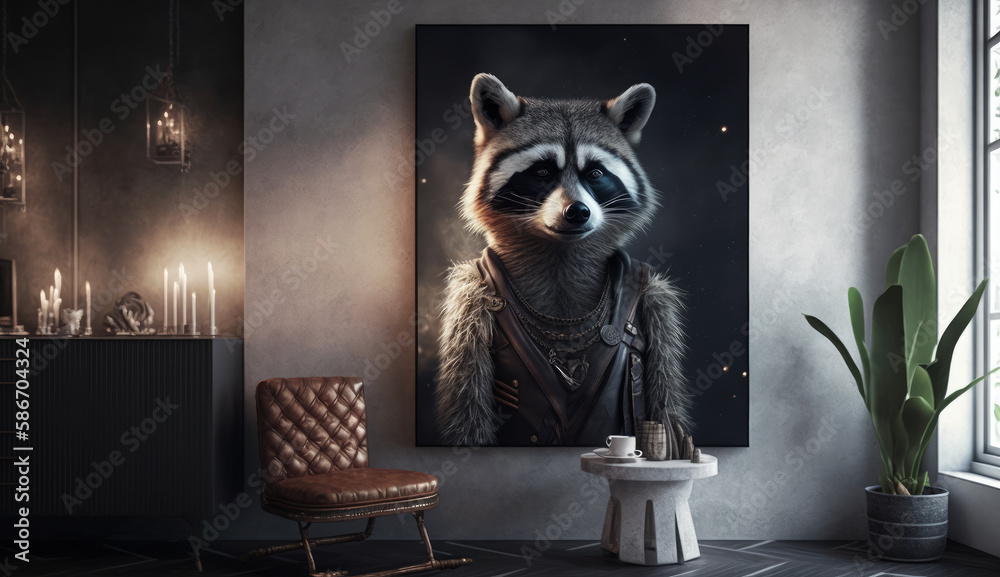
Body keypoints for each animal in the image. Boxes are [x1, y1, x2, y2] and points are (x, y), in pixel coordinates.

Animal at [435, 73, 690, 446]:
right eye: (542, 172)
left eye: (595, 174)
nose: (578, 212)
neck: (560, 252)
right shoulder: (469, 299)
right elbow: (466, 402)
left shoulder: (656, 300)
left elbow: (664, 394)